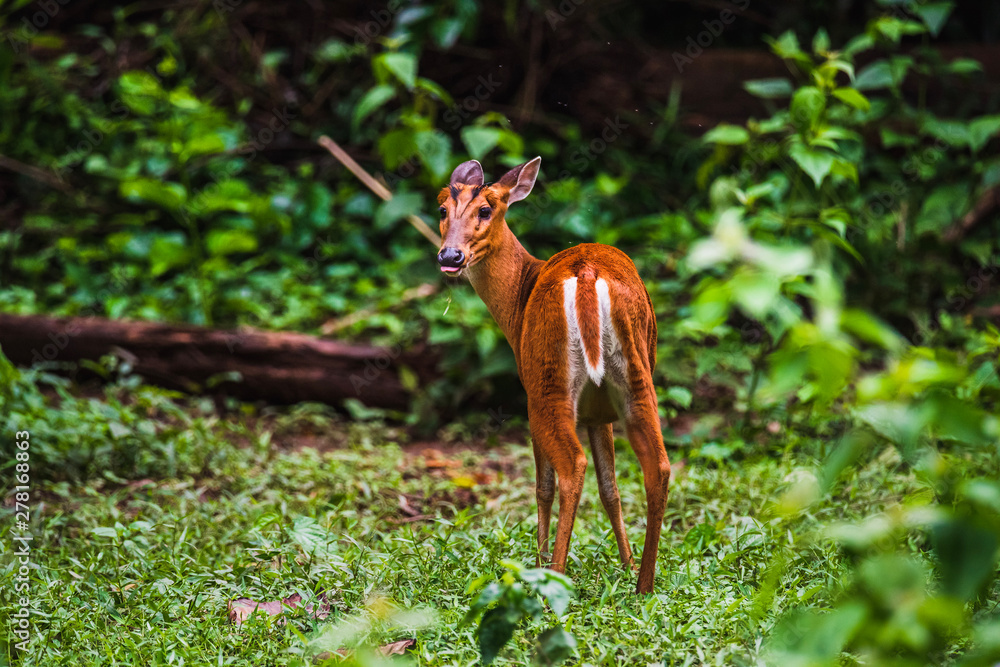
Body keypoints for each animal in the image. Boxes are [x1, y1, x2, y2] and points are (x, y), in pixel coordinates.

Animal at [435, 156, 671, 594]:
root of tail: (588, 275)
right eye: (443, 209)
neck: (519, 297)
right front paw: (626, 562)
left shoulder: (531, 395)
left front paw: (539, 560)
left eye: (486, 210)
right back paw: (643, 584)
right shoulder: (598, 413)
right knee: (658, 466)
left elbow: (542, 486)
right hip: (635, 374)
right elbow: (610, 489)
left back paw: (554, 578)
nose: (451, 256)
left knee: (571, 466)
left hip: (547, 382)